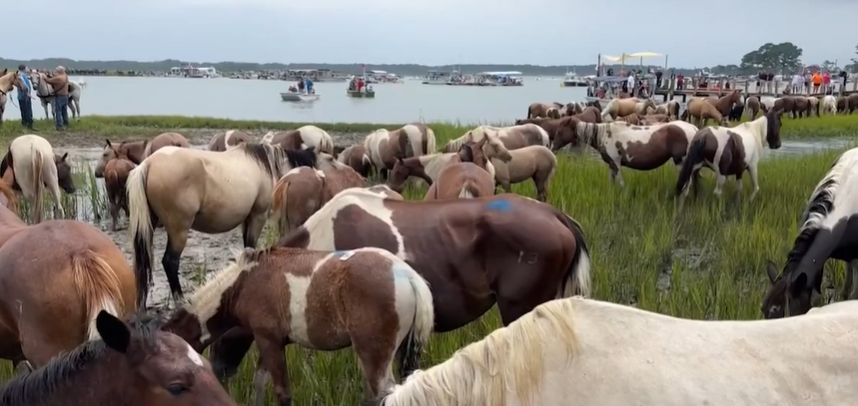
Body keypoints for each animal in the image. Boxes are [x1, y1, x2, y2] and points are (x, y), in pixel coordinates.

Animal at [126, 143, 318, 308]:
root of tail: (148, 163)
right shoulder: (258, 216)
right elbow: (251, 246)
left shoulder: (247, 219)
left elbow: (246, 247)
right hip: (178, 229)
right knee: (170, 262)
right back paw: (181, 301)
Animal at [163, 246, 434, 406]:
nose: (218, 374)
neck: (244, 282)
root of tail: (408, 275)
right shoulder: (268, 342)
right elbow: (260, 382)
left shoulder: (269, 341)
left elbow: (282, 392)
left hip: (374, 357)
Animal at [552, 119, 700, 187]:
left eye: (560, 131)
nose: (552, 146)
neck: (605, 135)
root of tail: (694, 128)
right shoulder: (611, 164)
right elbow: (611, 183)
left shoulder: (616, 163)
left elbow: (622, 183)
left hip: (681, 163)